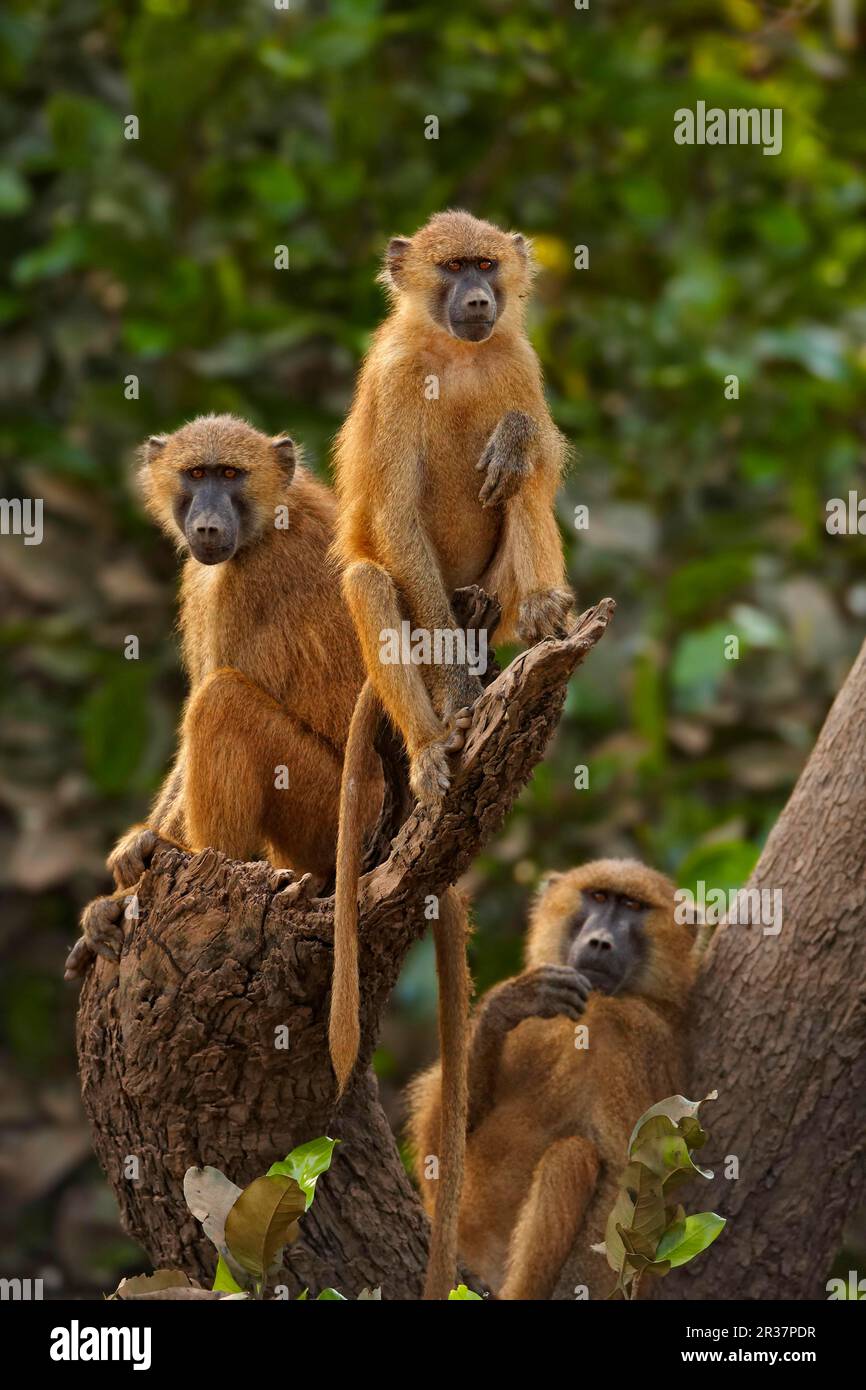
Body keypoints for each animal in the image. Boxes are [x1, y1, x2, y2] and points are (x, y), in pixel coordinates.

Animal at [63, 413, 378, 979]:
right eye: (197, 474)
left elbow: (216, 691)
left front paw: (130, 877)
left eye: (231, 474)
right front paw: (131, 856)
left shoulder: (252, 580)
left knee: (222, 700)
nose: (208, 526)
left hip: (334, 811)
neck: (271, 516)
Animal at [406, 860, 696, 1300]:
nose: (600, 942)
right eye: (597, 897)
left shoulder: (638, 1035)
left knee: (571, 1157)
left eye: (632, 905)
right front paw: (505, 1007)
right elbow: (439, 1150)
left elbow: (629, 1175)